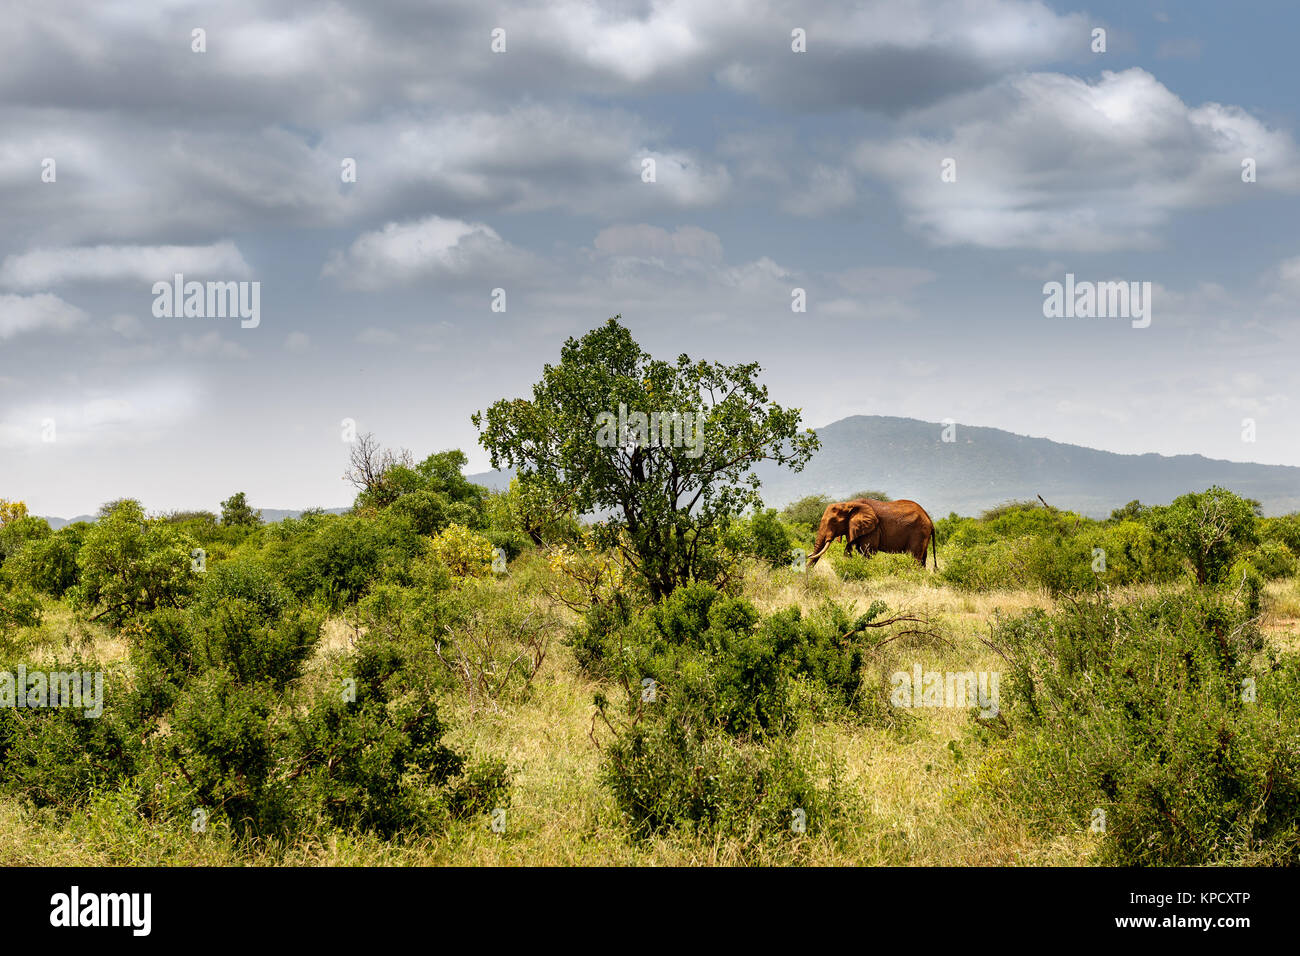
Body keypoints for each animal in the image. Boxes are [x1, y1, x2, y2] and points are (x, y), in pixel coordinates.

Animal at [806, 498, 937, 569]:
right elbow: (849, 550)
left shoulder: (873, 529)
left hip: (919, 532)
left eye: (833, 521)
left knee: (914, 557)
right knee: (923, 558)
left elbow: (867, 552)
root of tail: (929, 520)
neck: (848, 504)